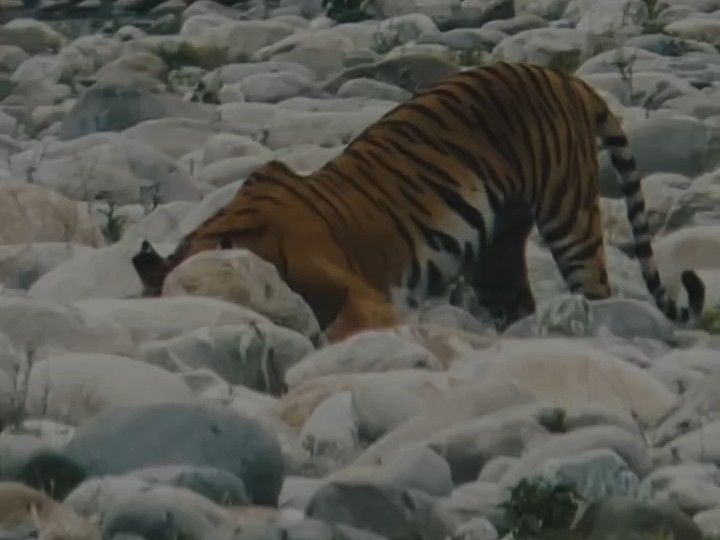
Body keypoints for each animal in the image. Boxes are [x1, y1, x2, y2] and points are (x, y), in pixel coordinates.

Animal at [132, 61, 706, 343]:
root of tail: (563, 76)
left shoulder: (362, 293)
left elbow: (339, 331)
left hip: (569, 218)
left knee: (597, 285)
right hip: (497, 255)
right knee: (516, 300)